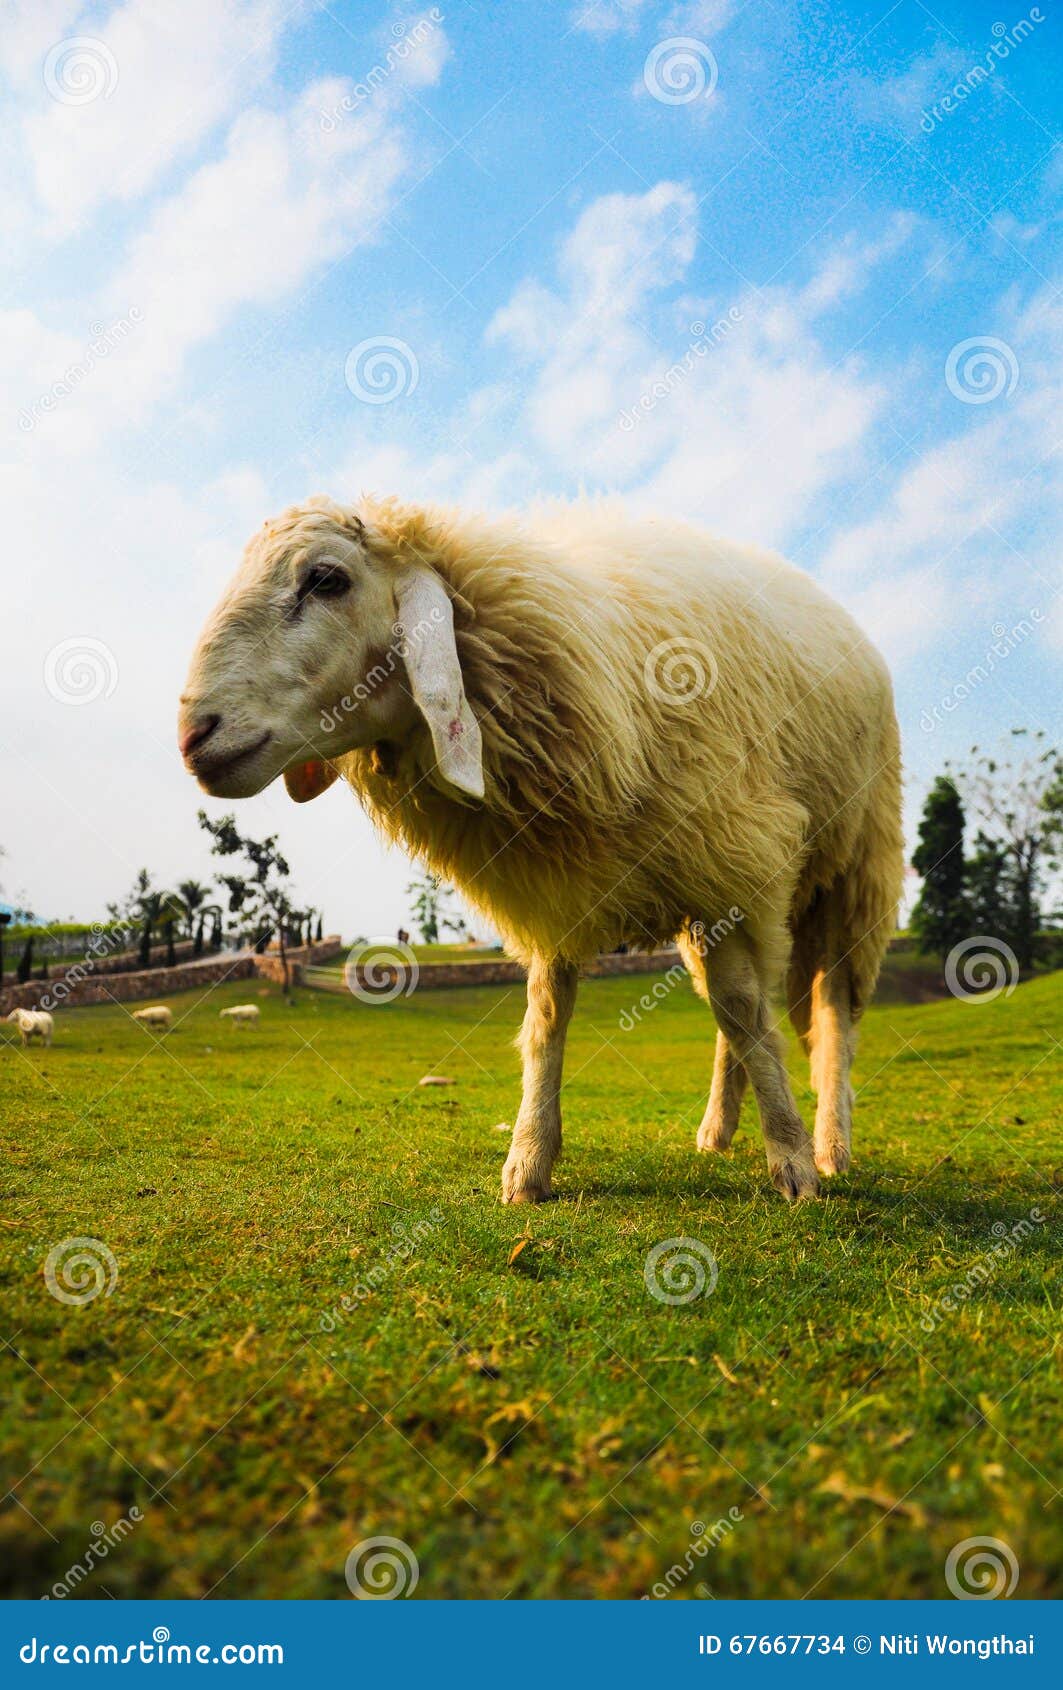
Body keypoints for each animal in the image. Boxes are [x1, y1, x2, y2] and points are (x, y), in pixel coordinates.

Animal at [180, 495, 903, 1203]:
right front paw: (528, 1163)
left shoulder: (724, 857)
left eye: (326, 579)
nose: (193, 736)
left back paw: (830, 1144)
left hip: (855, 864)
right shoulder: (557, 882)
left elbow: (744, 1011)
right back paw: (717, 1132)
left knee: (831, 1008)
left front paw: (791, 1163)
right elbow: (548, 1017)